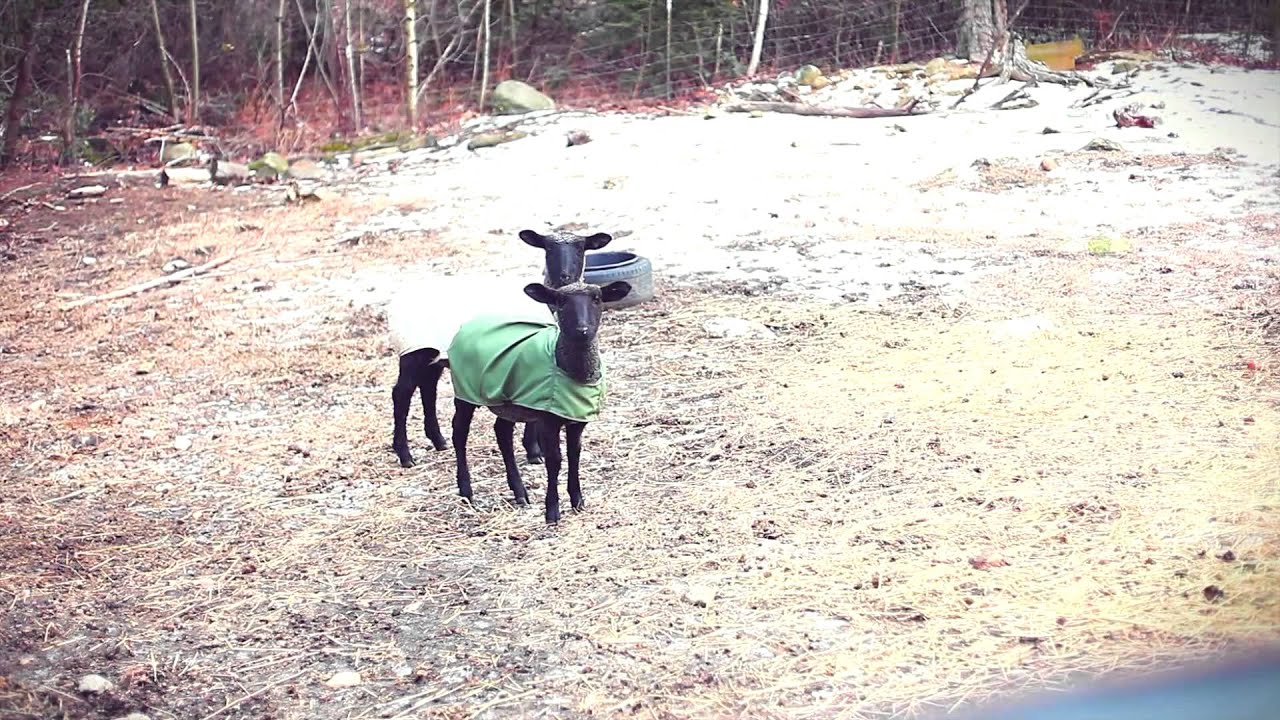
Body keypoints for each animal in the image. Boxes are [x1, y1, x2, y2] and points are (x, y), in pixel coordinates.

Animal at [388, 229, 613, 468]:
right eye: (549, 248)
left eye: (581, 248)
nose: (565, 276)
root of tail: (396, 300)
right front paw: (534, 451)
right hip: (412, 351)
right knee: (402, 394)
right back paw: (405, 454)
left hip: (433, 354)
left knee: (428, 388)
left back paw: (438, 440)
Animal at [448, 280, 632, 524]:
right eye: (561, 302)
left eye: (597, 299)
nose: (582, 331)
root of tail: (469, 323)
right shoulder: (547, 420)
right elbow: (555, 460)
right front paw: (552, 511)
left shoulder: (576, 421)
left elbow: (574, 456)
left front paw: (577, 501)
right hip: (464, 391)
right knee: (459, 432)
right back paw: (466, 491)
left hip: (508, 401)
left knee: (502, 432)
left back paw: (519, 493)